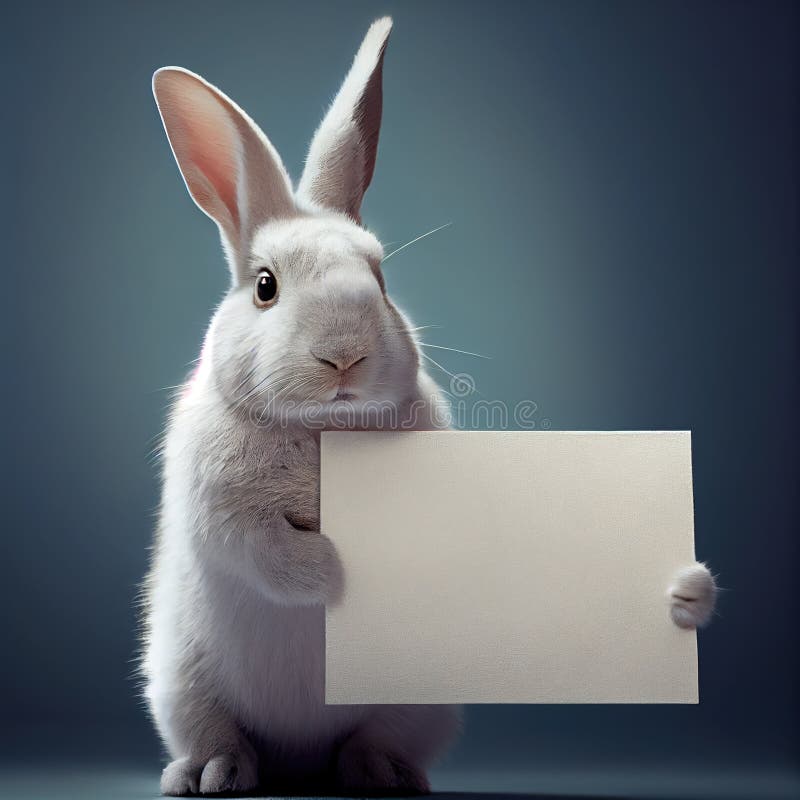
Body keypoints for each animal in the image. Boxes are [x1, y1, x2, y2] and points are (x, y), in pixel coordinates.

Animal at [142, 16, 718, 797]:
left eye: (380, 278)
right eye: (264, 286)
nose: (344, 355)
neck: (324, 427)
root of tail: (302, 758)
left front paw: (688, 595)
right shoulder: (220, 507)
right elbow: (268, 551)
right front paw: (335, 572)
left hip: (418, 705)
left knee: (374, 739)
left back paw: (381, 770)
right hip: (180, 684)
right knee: (219, 733)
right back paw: (212, 771)